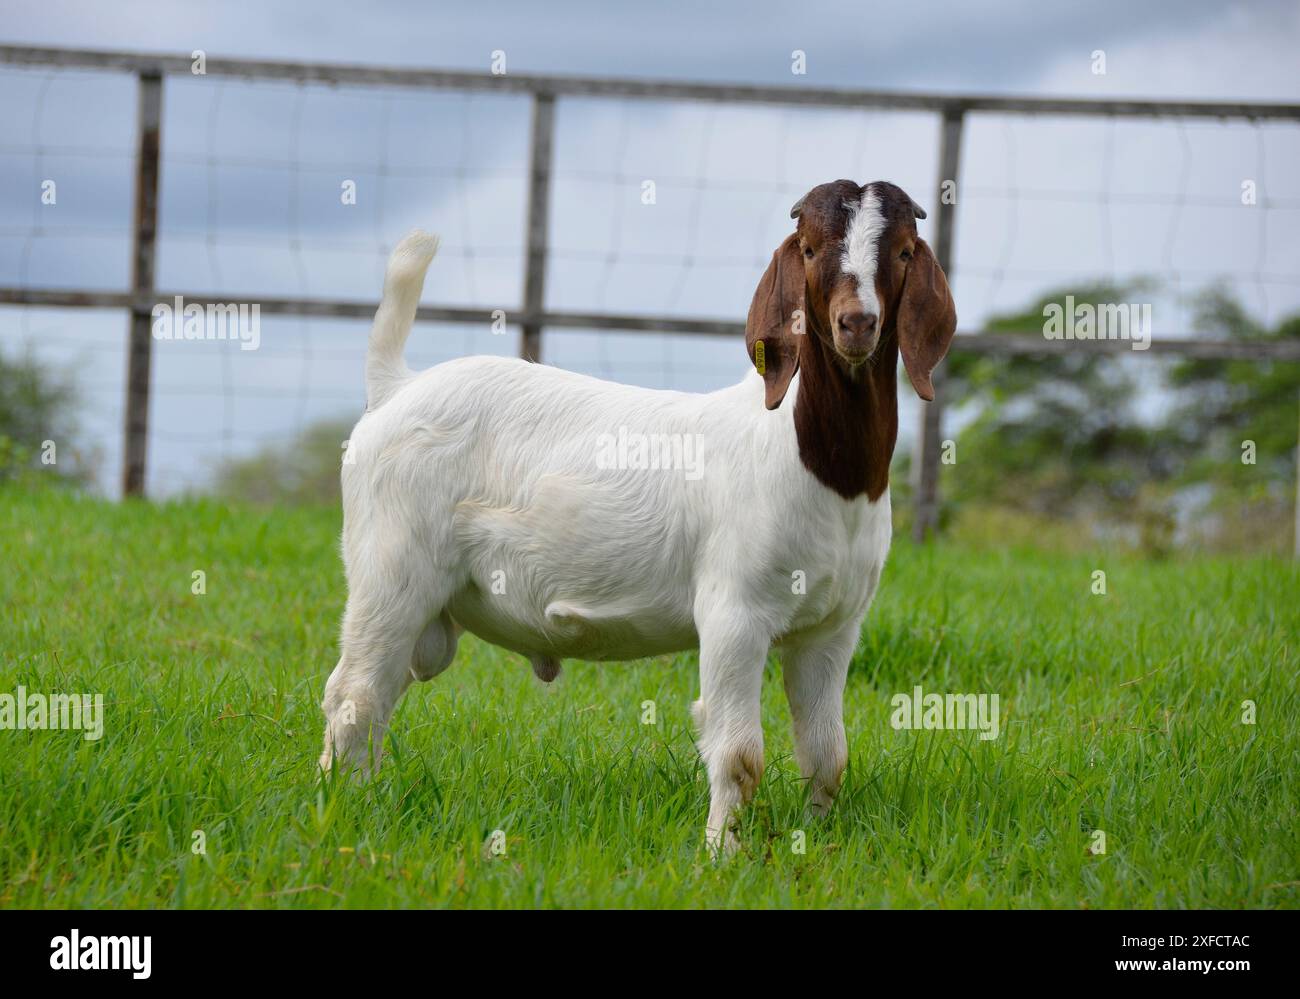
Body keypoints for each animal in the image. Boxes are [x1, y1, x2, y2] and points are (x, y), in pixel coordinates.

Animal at [320, 179, 957, 854]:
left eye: (905, 251)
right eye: (808, 248)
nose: (856, 322)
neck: (818, 464)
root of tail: (395, 387)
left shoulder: (834, 628)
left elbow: (826, 754)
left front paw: (814, 840)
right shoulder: (735, 611)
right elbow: (739, 753)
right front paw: (721, 854)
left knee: (379, 692)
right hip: (390, 567)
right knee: (354, 694)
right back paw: (342, 808)